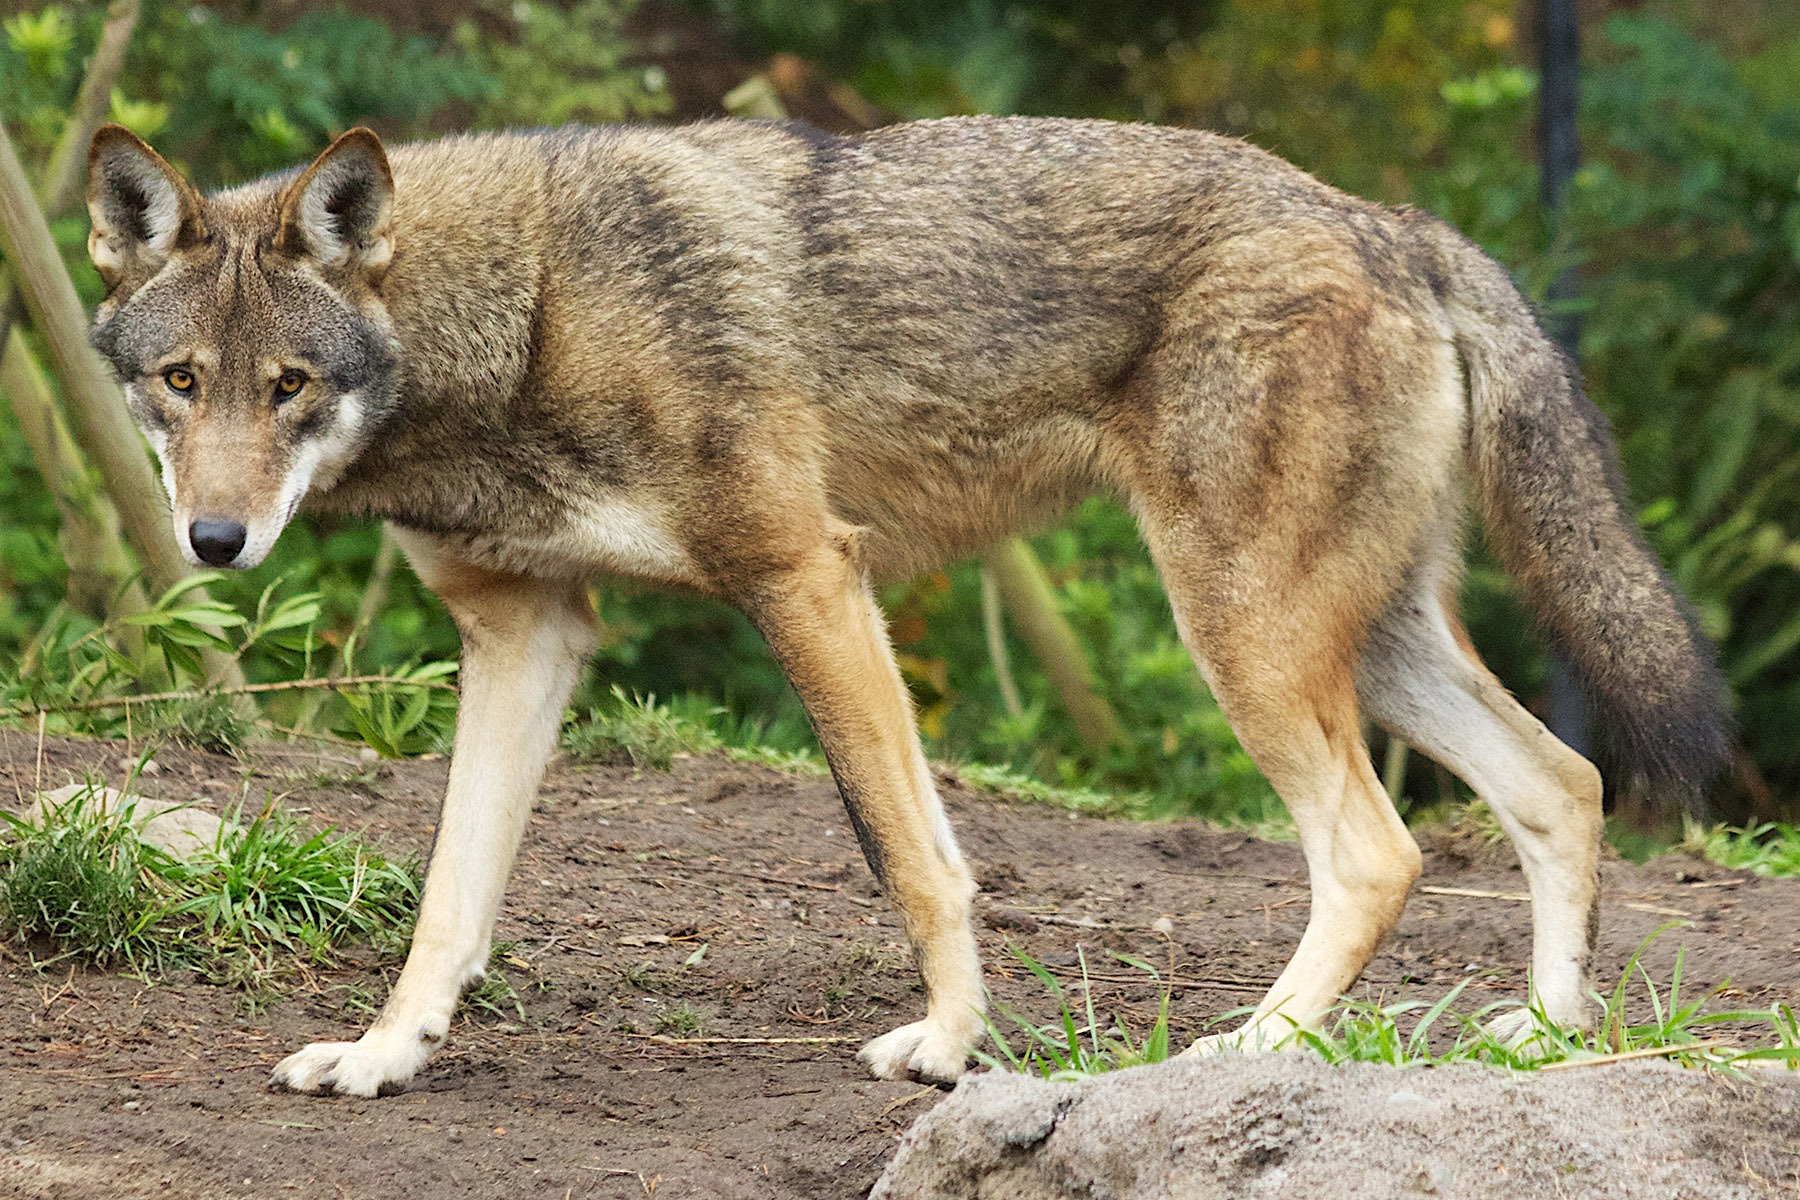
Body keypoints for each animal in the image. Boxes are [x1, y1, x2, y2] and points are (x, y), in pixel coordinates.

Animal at [85, 115, 1727, 1096]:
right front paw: (382, 1058)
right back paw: (1550, 1035)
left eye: (288, 388)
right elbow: (448, 897)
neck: (528, 314)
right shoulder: (525, 634)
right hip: (1361, 644)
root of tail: (1397, 221)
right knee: (1565, 783)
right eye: (183, 383)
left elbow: (912, 856)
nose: (214, 541)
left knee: (1381, 852)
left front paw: (948, 1045)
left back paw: (1247, 1050)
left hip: (1246, 637)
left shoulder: (809, 576)